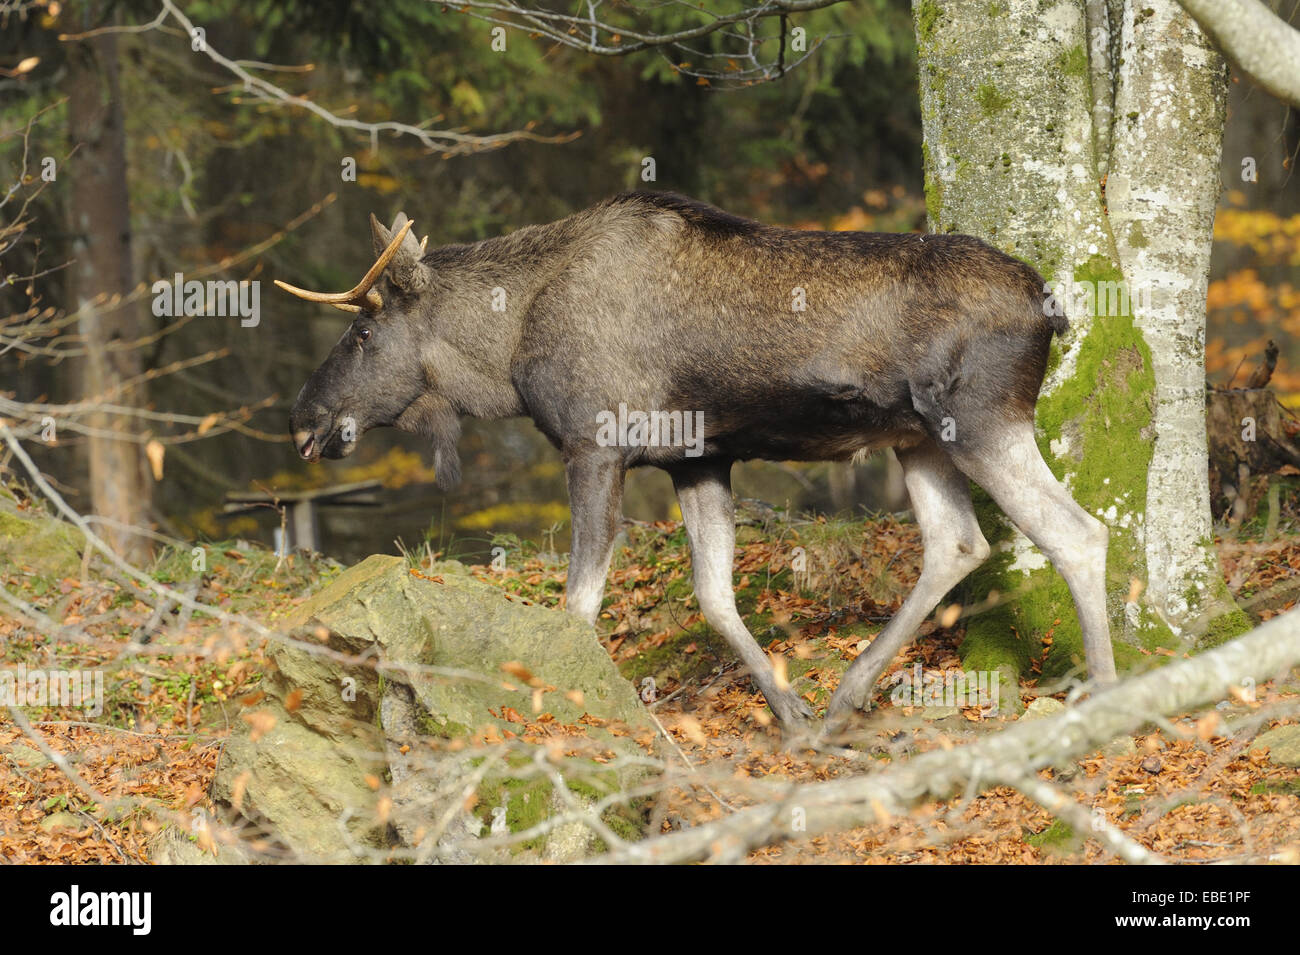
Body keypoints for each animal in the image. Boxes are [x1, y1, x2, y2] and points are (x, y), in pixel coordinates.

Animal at [278, 191, 1117, 737]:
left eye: (361, 333)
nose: (304, 421)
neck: (505, 358)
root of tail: (1050, 305)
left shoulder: (595, 443)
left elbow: (579, 603)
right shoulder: (697, 456)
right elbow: (714, 595)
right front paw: (787, 710)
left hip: (980, 418)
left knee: (1078, 533)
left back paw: (1107, 694)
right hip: (918, 437)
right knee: (958, 543)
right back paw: (845, 694)